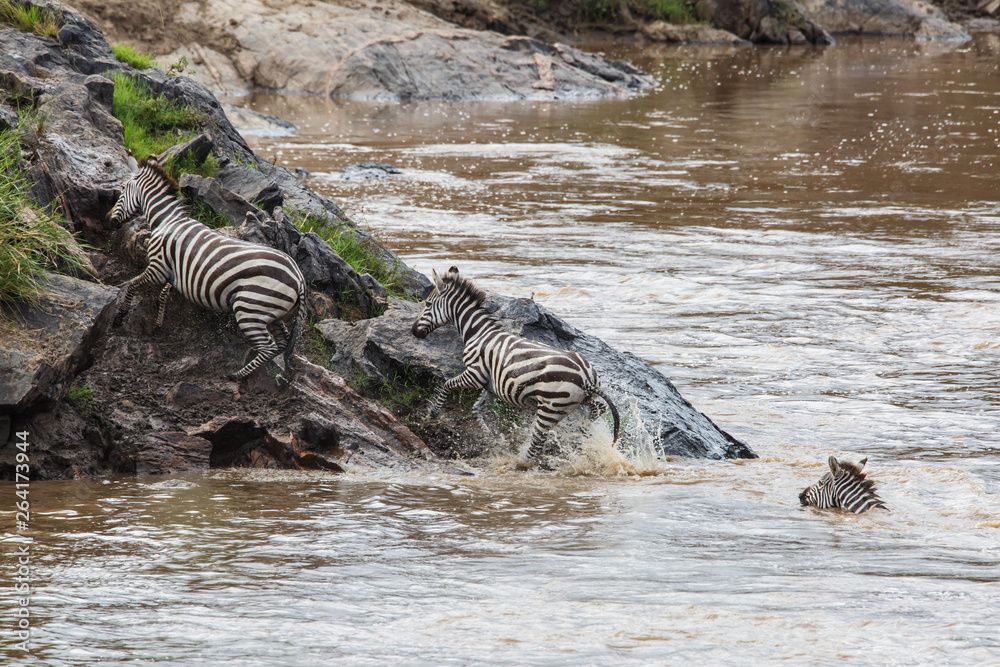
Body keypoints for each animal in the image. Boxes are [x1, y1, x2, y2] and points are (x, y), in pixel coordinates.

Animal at [109, 156, 306, 382]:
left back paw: (236, 375)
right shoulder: (175, 271)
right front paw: (158, 324)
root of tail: (300, 278)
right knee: (281, 343)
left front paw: (120, 316)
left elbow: (133, 285)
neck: (166, 221)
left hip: (250, 309)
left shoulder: (158, 267)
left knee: (268, 347)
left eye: (123, 188)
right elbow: (163, 295)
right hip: (270, 313)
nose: (110, 221)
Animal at [410, 266, 620, 464]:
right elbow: (477, 409)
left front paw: (432, 415)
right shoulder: (491, 385)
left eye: (427, 304)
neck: (478, 333)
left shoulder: (475, 374)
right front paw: (491, 437)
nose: (413, 331)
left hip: (549, 409)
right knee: (598, 410)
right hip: (583, 399)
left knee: (535, 447)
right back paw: (582, 432)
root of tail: (586, 377)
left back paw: (521, 463)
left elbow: (446, 385)